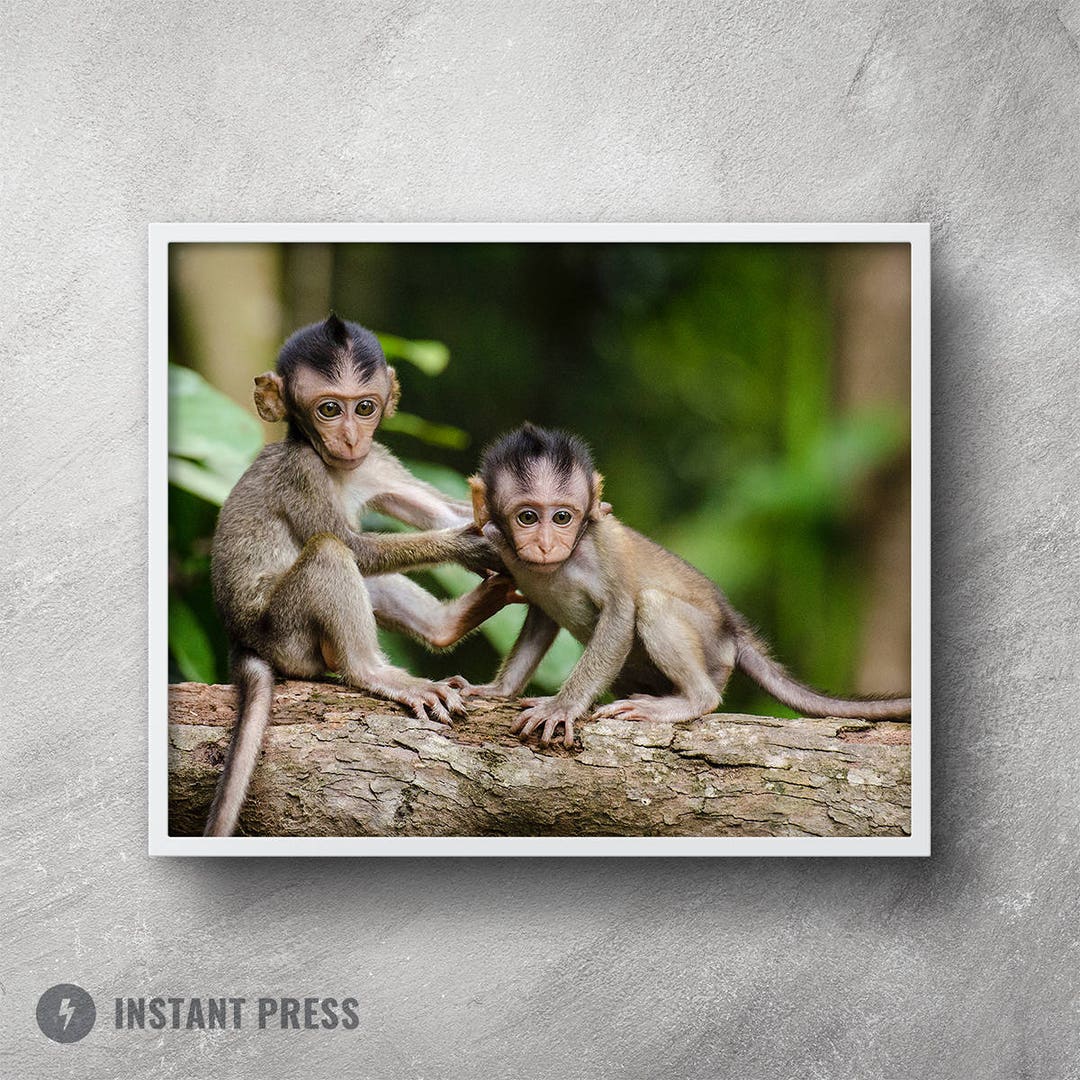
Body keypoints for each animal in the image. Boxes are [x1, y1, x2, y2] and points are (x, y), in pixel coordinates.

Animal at [202, 314, 516, 836]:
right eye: (329, 409)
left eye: (364, 407)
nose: (350, 438)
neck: (336, 468)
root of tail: (241, 641)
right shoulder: (302, 471)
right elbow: (352, 547)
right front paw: (472, 544)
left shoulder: (376, 460)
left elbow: (440, 511)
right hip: (286, 635)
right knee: (331, 553)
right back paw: (373, 671)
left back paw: (449, 622)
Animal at [456, 423, 912, 749]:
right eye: (528, 517)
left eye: (563, 517)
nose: (548, 544)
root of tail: (733, 629)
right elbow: (541, 617)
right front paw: (496, 690)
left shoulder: (601, 546)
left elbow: (620, 613)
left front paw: (563, 707)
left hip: (712, 650)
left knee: (653, 604)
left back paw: (692, 700)